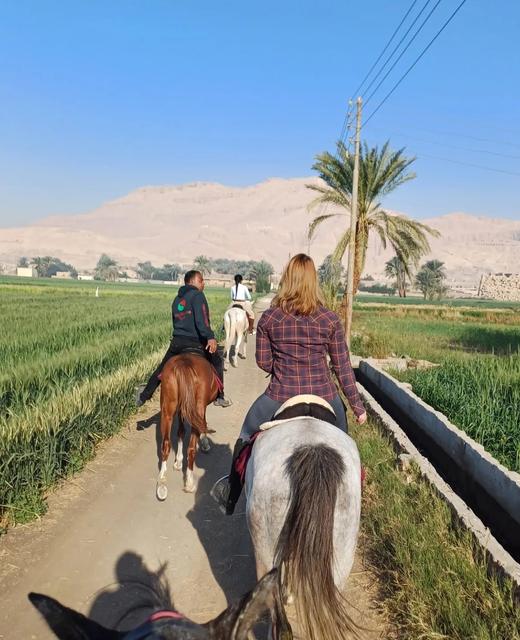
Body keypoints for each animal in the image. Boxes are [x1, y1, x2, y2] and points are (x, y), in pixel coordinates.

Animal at [157, 352, 219, 499]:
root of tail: (183, 363)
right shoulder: (200, 408)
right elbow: (203, 423)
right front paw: (205, 443)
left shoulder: (182, 408)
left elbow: (180, 431)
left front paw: (178, 461)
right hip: (198, 405)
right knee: (191, 448)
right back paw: (189, 482)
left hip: (167, 409)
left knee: (166, 444)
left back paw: (162, 483)